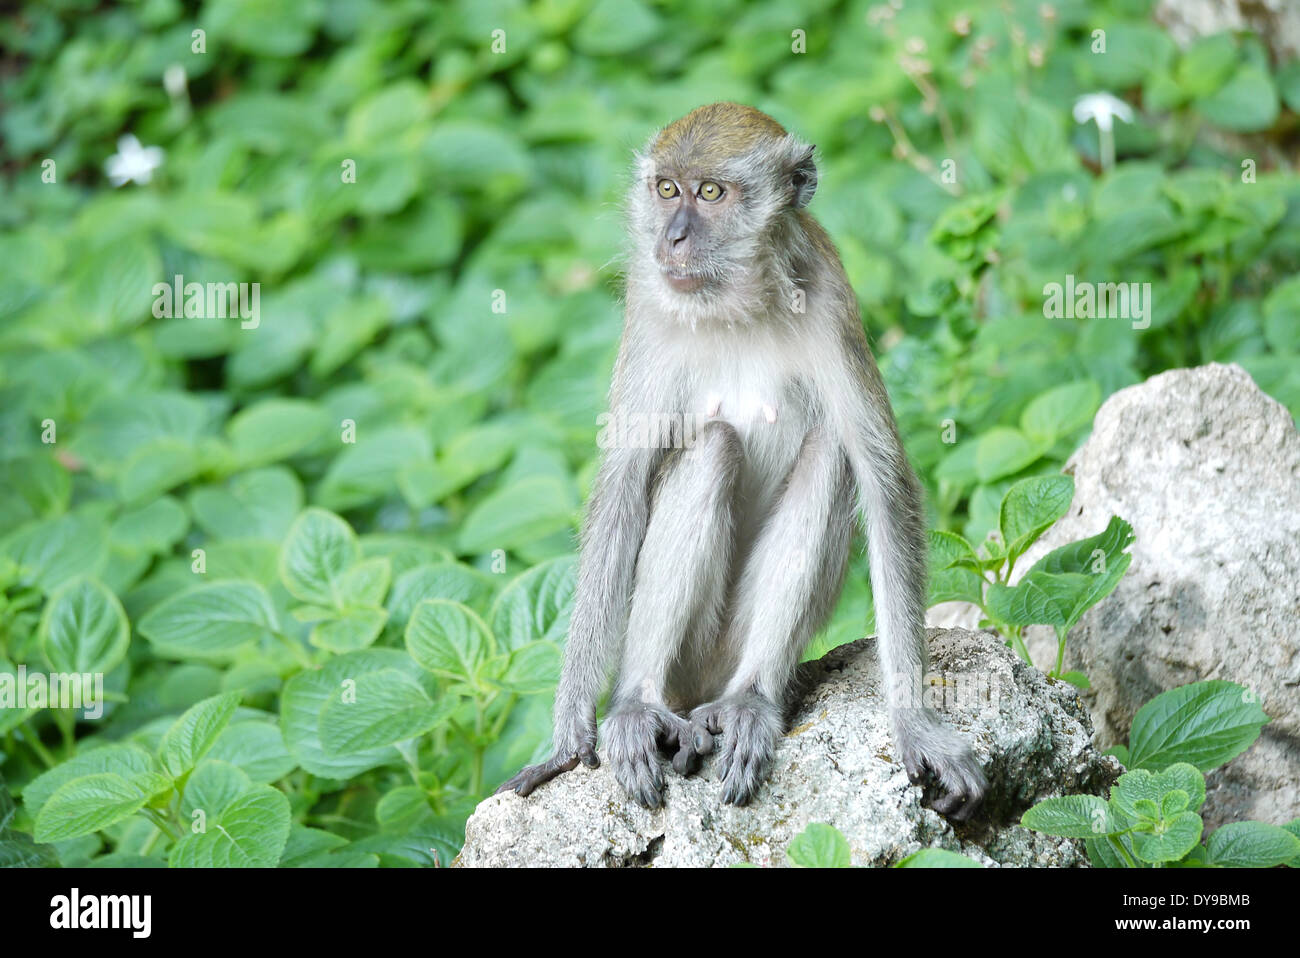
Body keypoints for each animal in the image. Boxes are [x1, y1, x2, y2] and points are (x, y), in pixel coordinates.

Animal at [497, 102, 986, 819]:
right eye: (666, 188)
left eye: (711, 193)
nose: (672, 238)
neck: (735, 307)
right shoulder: (649, 309)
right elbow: (623, 486)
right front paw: (565, 742)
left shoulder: (830, 297)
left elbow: (880, 473)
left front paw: (915, 723)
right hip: (691, 660)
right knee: (713, 447)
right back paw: (637, 707)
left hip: (726, 652)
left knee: (831, 455)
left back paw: (748, 702)